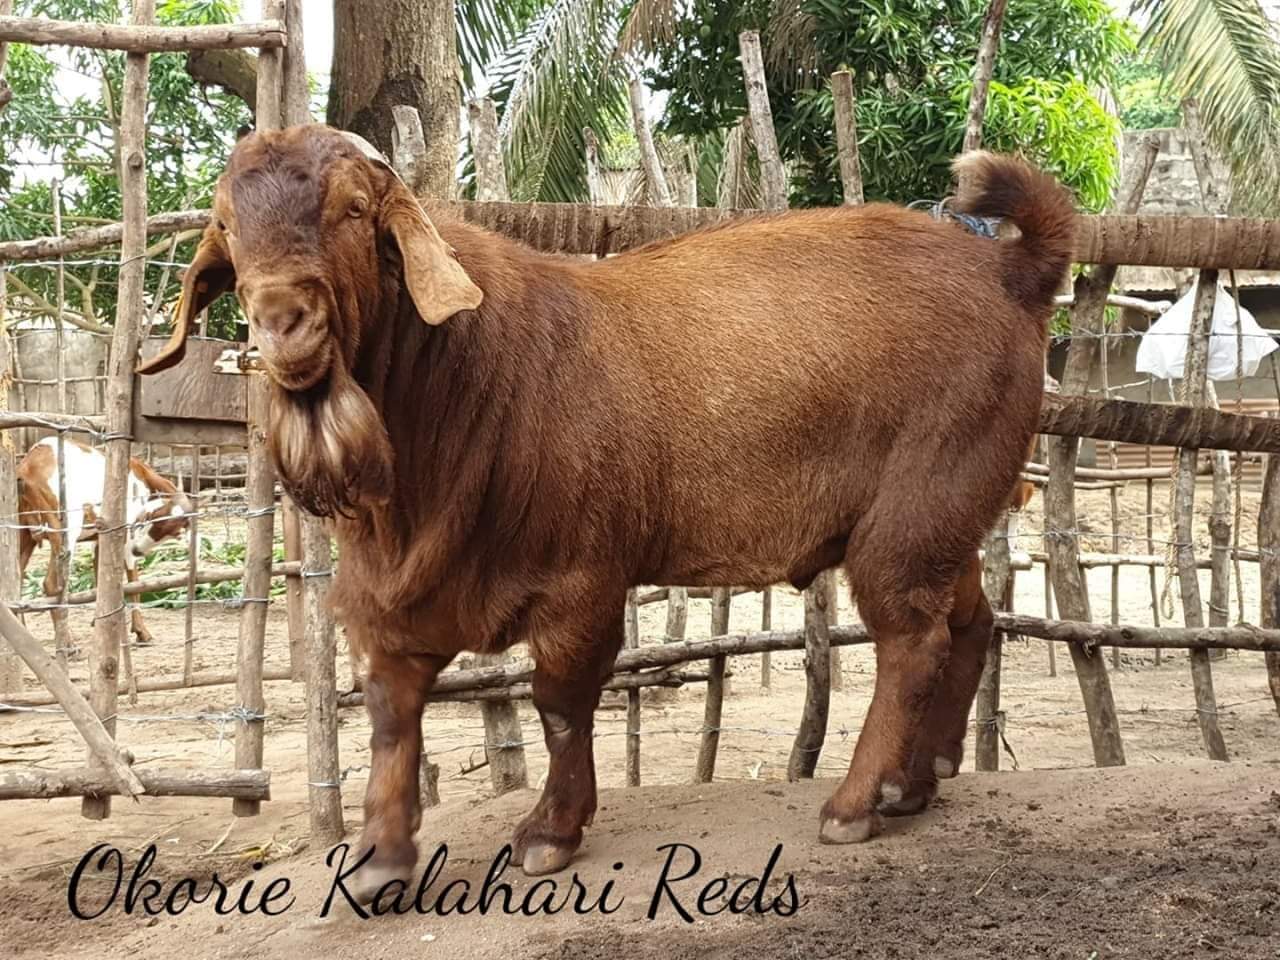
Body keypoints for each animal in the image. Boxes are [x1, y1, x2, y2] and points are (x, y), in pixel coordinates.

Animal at [17, 437, 194, 646]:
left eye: (176, 532)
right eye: (151, 519)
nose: (139, 550)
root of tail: (27, 467)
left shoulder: (101, 538)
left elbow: (100, 577)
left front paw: (99, 621)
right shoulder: (124, 535)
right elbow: (133, 581)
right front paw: (142, 632)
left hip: (24, 533)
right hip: (65, 531)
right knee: (51, 584)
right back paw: (67, 642)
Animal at [137, 124, 1074, 901]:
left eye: (354, 210)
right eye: (227, 224)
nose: (284, 323)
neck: (461, 376)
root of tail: (1010, 274)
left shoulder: (581, 578)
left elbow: (559, 706)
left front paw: (551, 832)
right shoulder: (388, 595)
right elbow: (392, 716)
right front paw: (379, 861)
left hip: (917, 506)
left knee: (911, 639)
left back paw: (854, 803)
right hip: (949, 517)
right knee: (972, 621)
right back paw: (917, 781)